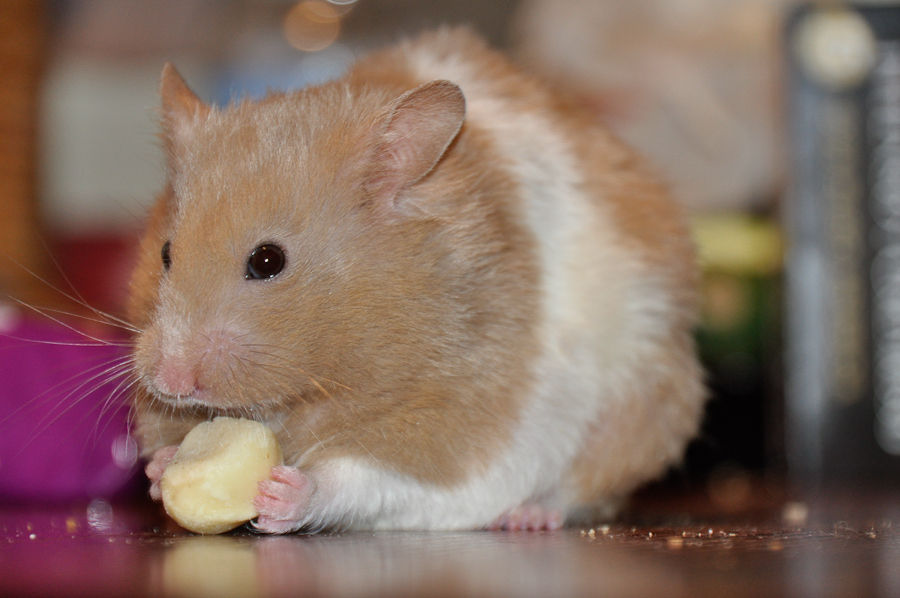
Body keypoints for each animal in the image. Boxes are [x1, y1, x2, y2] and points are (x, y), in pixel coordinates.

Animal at [128, 28, 705, 533]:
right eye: (165, 253)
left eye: (268, 261)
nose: (170, 382)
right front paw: (162, 468)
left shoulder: (462, 425)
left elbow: (364, 475)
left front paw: (283, 494)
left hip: (638, 410)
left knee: (583, 490)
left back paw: (527, 517)